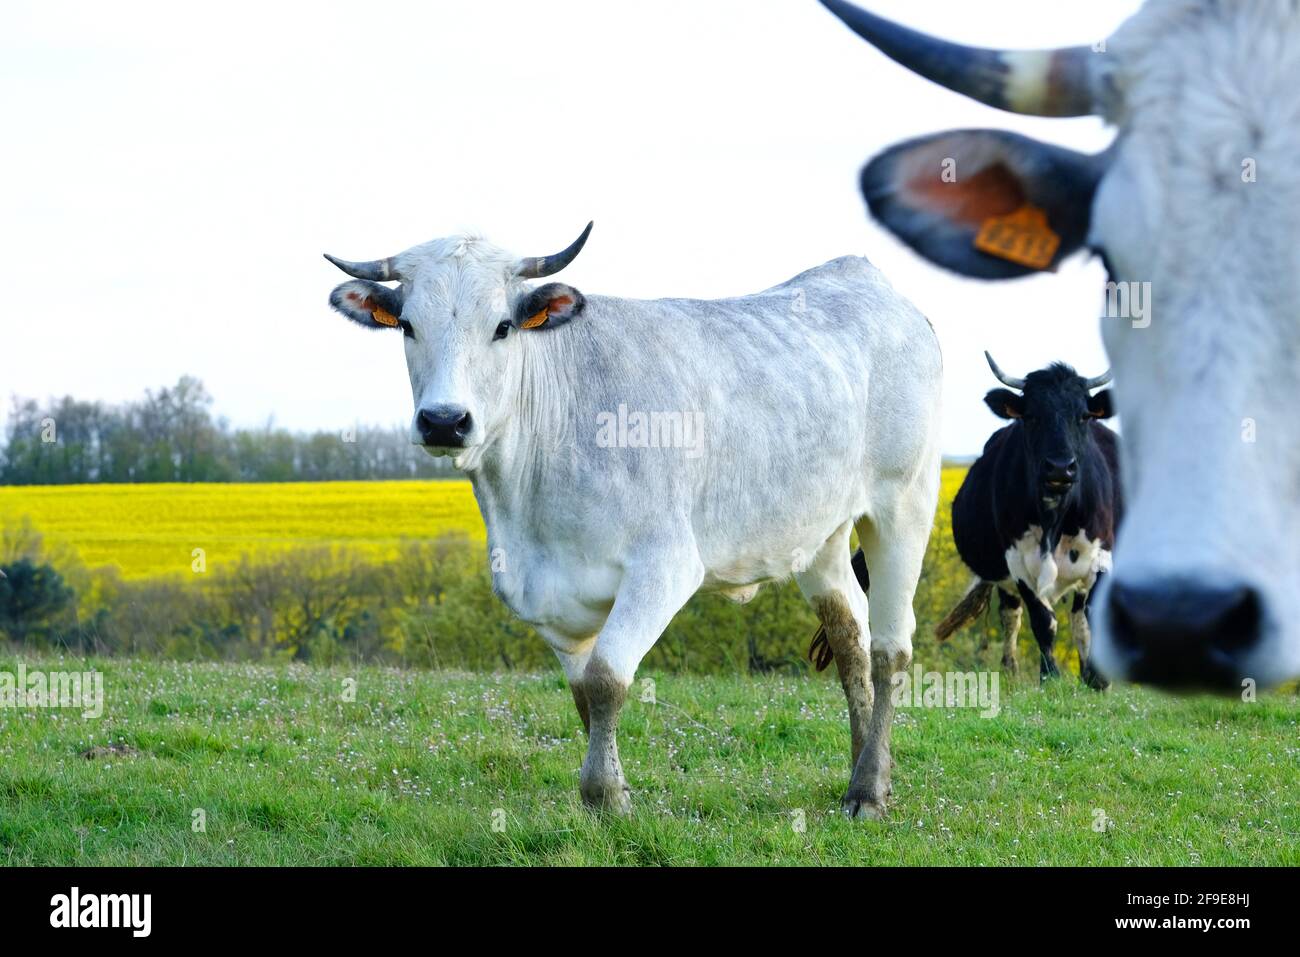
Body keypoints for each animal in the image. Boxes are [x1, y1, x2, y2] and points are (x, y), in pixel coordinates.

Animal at [323, 224, 943, 819]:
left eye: (502, 326)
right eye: (407, 325)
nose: (445, 420)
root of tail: (863, 275)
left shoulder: (664, 565)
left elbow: (607, 679)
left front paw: (603, 796)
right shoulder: (546, 596)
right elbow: (582, 692)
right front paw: (614, 792)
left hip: (905, 503)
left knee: (889, 648)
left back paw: (868, 790)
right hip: (820, 535)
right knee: (850, 637)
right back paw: (866, 769)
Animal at [931, 353, 1121, 687]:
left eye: (1084, 416)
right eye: (1031, 416)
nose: (1060, 467)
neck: (1054, 519)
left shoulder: (1101, 554)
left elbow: (1091, 616)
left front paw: (1098, 679)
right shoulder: (1018, 560)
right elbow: (1042, 621)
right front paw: (1050, 677)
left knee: (1078, 617)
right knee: (1012, 616)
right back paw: (1011, 671)